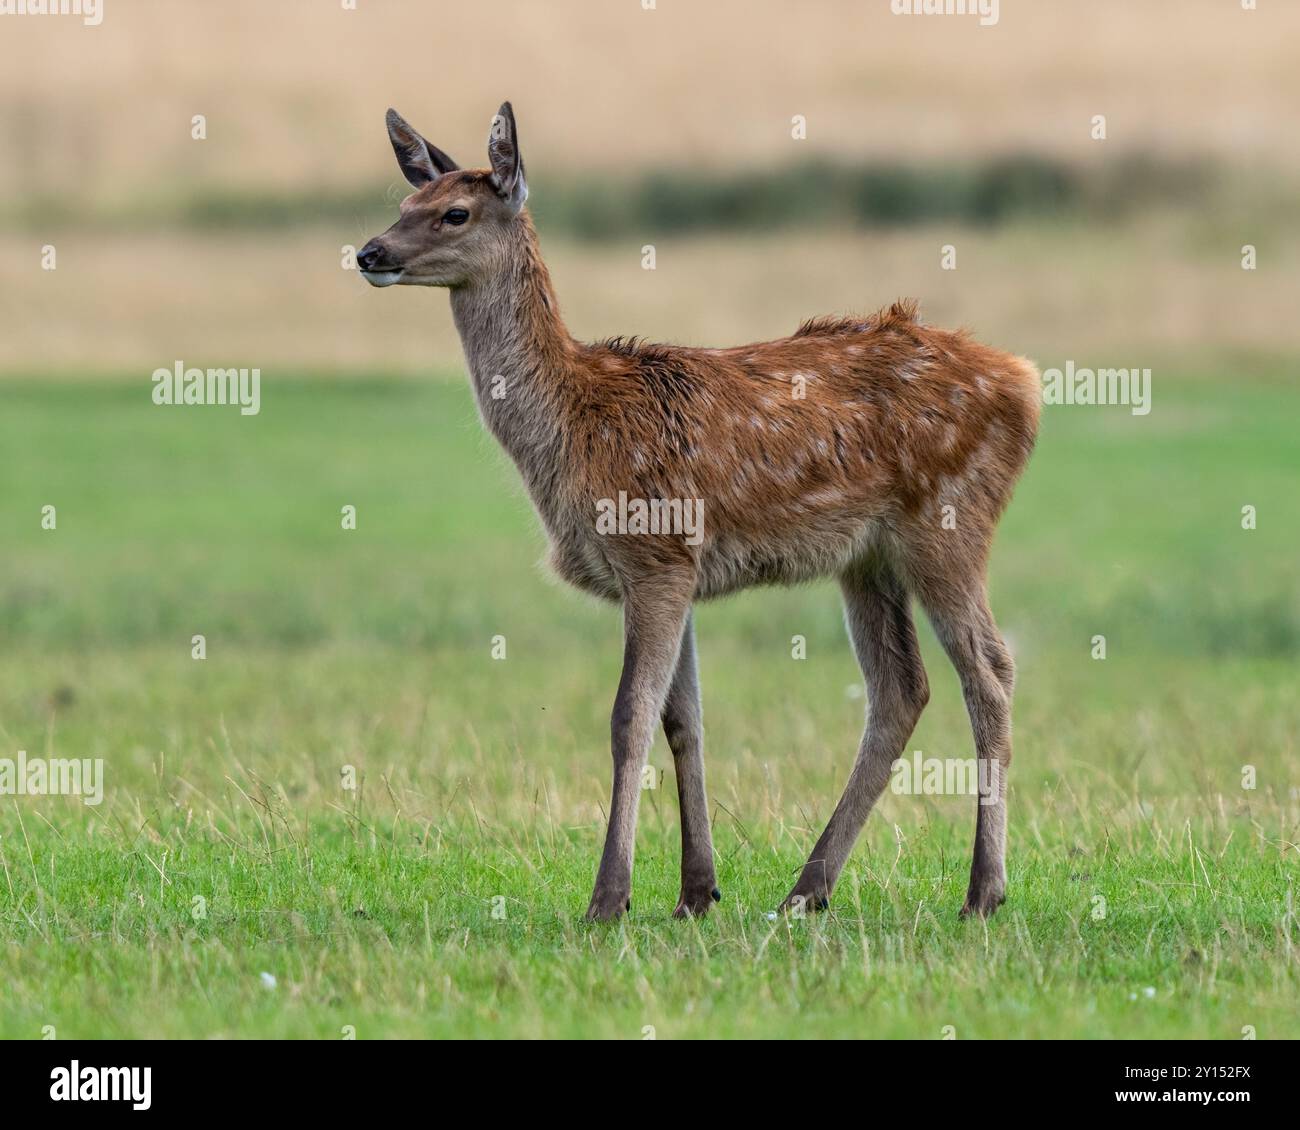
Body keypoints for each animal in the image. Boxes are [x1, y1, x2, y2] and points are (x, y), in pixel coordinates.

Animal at [357, 103, 1040, 922]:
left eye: (454, 212)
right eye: (405, 202)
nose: (369, 251)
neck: (574, 424)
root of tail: (1026, 383)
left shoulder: (653, 552)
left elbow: (628, 715)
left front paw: (608, 897)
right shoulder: (677, 566)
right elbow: (682, 718)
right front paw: (695, 889)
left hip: (950, 519)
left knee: (991, 671)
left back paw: (982, 891)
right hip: (866, 557)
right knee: (901, 690)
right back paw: (807, 889)